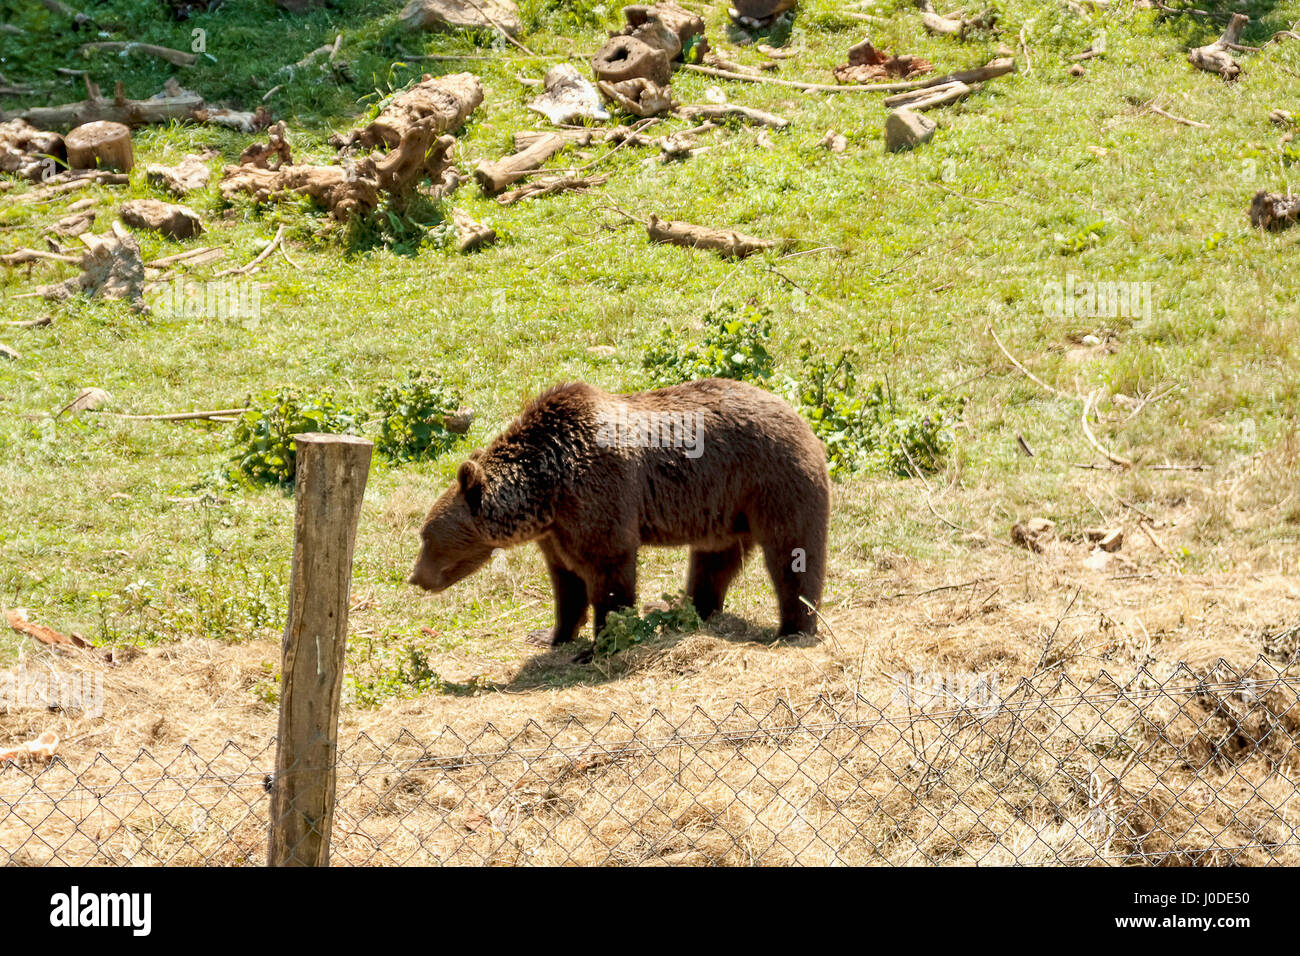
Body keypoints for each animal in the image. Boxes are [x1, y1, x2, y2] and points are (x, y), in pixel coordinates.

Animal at [408, 378, 829, 645]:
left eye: (426, 536)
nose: (416, 577)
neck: (547, 487)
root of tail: (802, 419)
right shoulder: (558, 529)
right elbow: (566, 582)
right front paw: (551, 635)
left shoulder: (599, 494)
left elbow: (608, 570)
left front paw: (602, 640)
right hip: (724, 507)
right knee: (714, 562)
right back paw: (690, 610)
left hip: (772, 482)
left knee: (792, 555)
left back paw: (792, 628)